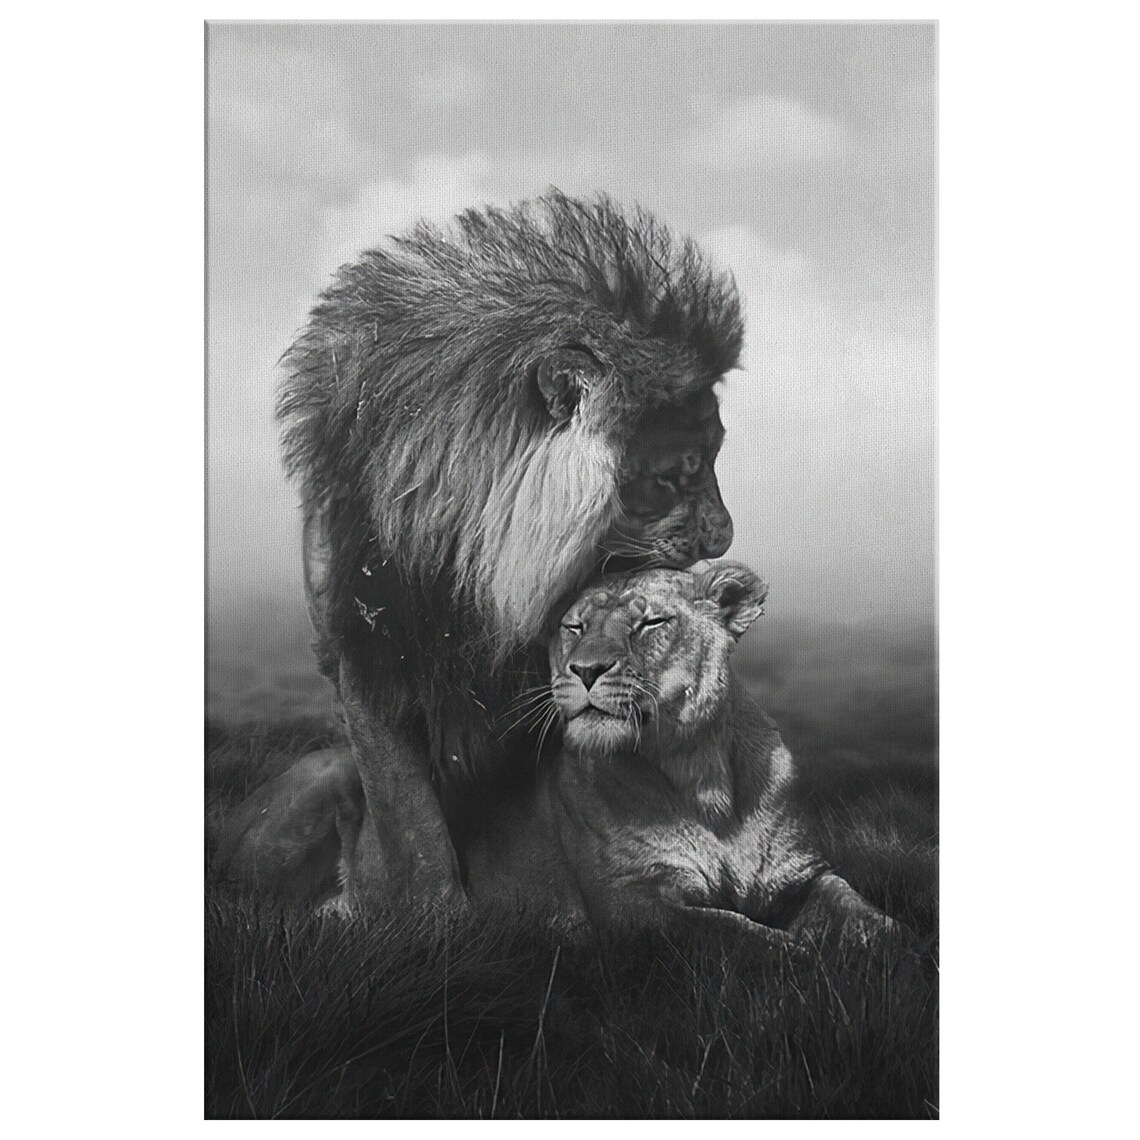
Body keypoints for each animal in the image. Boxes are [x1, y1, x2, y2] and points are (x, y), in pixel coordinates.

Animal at [278, 192, 744, 905]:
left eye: (711, 458)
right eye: (675, 474)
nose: (726, 536)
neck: (461, 549)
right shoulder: (364, 655)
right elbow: (409, 817)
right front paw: (434, 912)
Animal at [464, 563, 896, 950]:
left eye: (651, 623)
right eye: (575, 627)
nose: (586, 670)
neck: (702, 776)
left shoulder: (802, 873)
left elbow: (857, 907)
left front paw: (898, 946)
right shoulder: (627, 901)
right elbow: (734, 931)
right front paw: (802, 953)